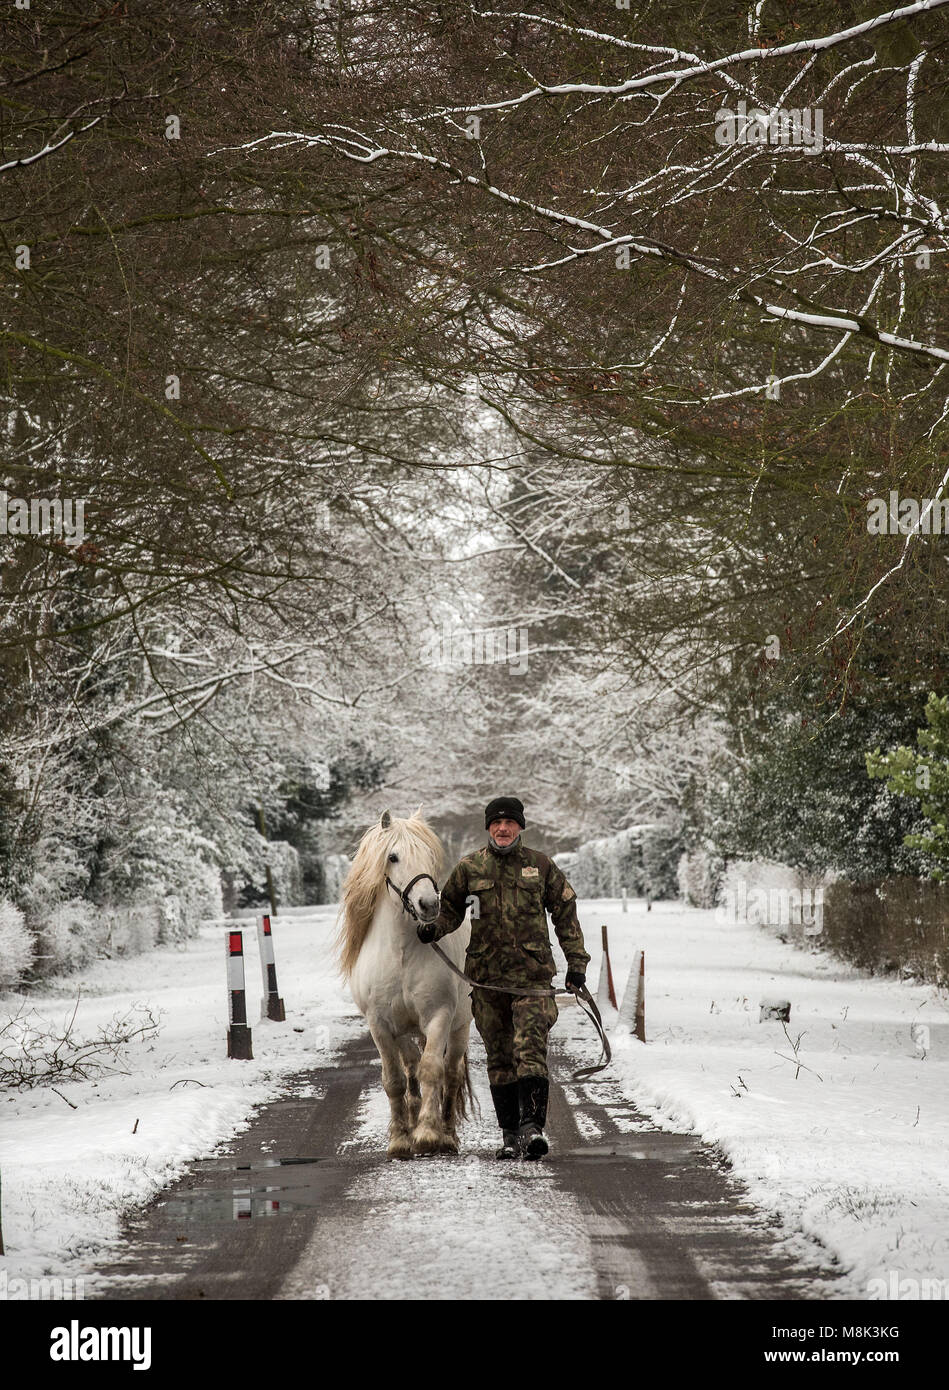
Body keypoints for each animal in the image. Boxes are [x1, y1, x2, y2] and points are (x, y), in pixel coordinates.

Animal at [336, 809, 474, 1157]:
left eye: (428, 854)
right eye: (393, 857)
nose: (429, 905)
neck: (400, 952)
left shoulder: (439, 1017)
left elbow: (433, 1070)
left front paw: (427, 1133)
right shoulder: (380, 1025)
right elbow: (395, 1080)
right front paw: (400, 1138)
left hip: (459, 1027)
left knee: (450, 1073)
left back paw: (447, 1134)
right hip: (404, 1033)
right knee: (411, 1069)